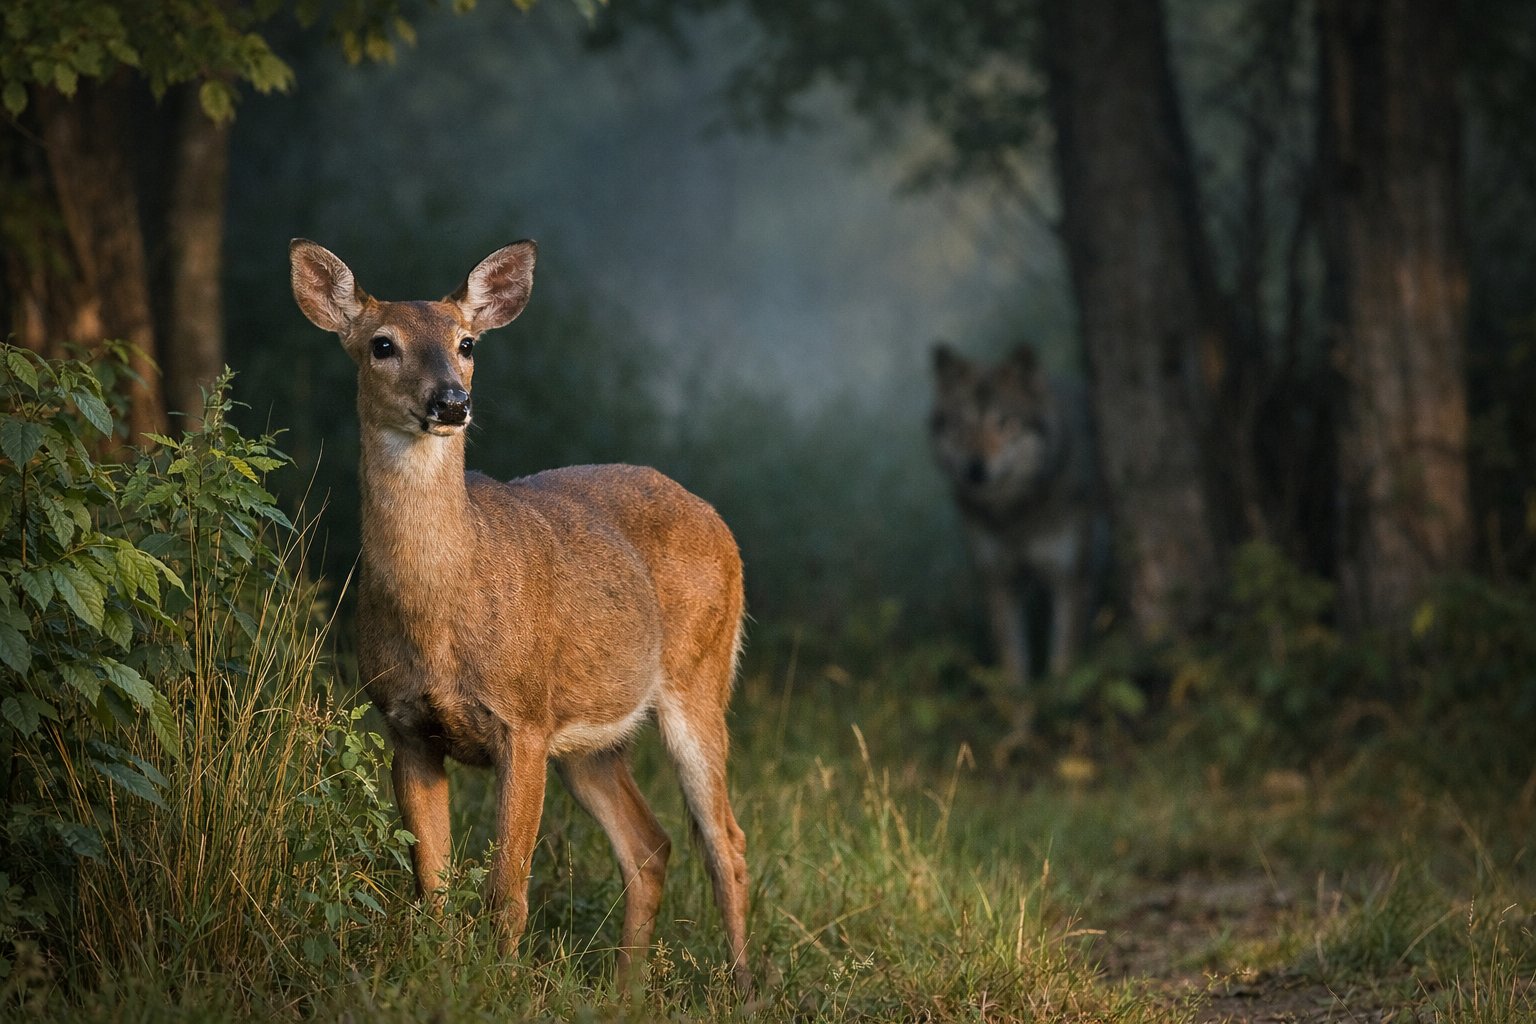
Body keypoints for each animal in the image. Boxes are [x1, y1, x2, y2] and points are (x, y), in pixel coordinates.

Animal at [288, 239, 751, 992]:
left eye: (467, 342)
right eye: (382, 344)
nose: (452, 401)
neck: (441, 613)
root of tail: (717, 519)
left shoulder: (525, 720)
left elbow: (507, 890)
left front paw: (497, 984)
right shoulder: (406, 724)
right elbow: (433, 884)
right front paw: (442, 976)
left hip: (700, 678)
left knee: (726, 842)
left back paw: (741, 989)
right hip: (592, 740)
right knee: (650, 844)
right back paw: (624, 992)